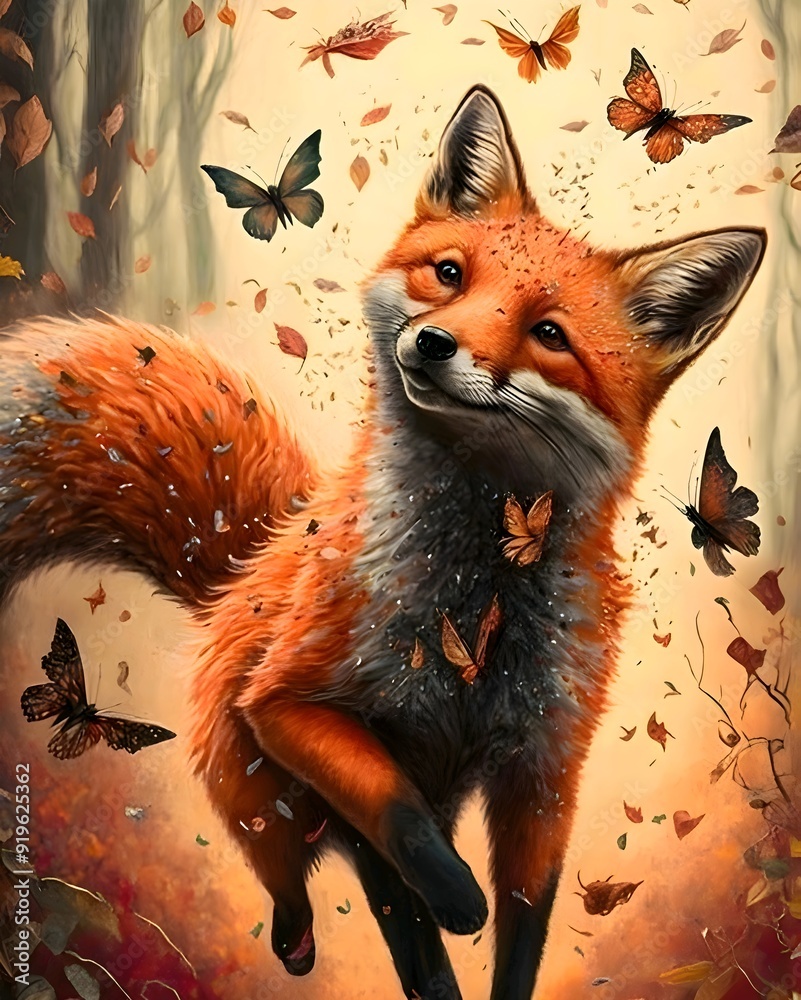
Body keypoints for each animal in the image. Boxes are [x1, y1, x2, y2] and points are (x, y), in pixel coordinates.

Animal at [0, 85, 765, 999]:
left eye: (548, 333)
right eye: (449, 275)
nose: (433, 344)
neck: (473, 604)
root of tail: (245, 570)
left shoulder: (544, 769)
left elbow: (525, 925)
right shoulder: (294, 708)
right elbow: (400, 839)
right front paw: (454, 901)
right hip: (263, 791)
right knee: (288, 873)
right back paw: (298, 940)